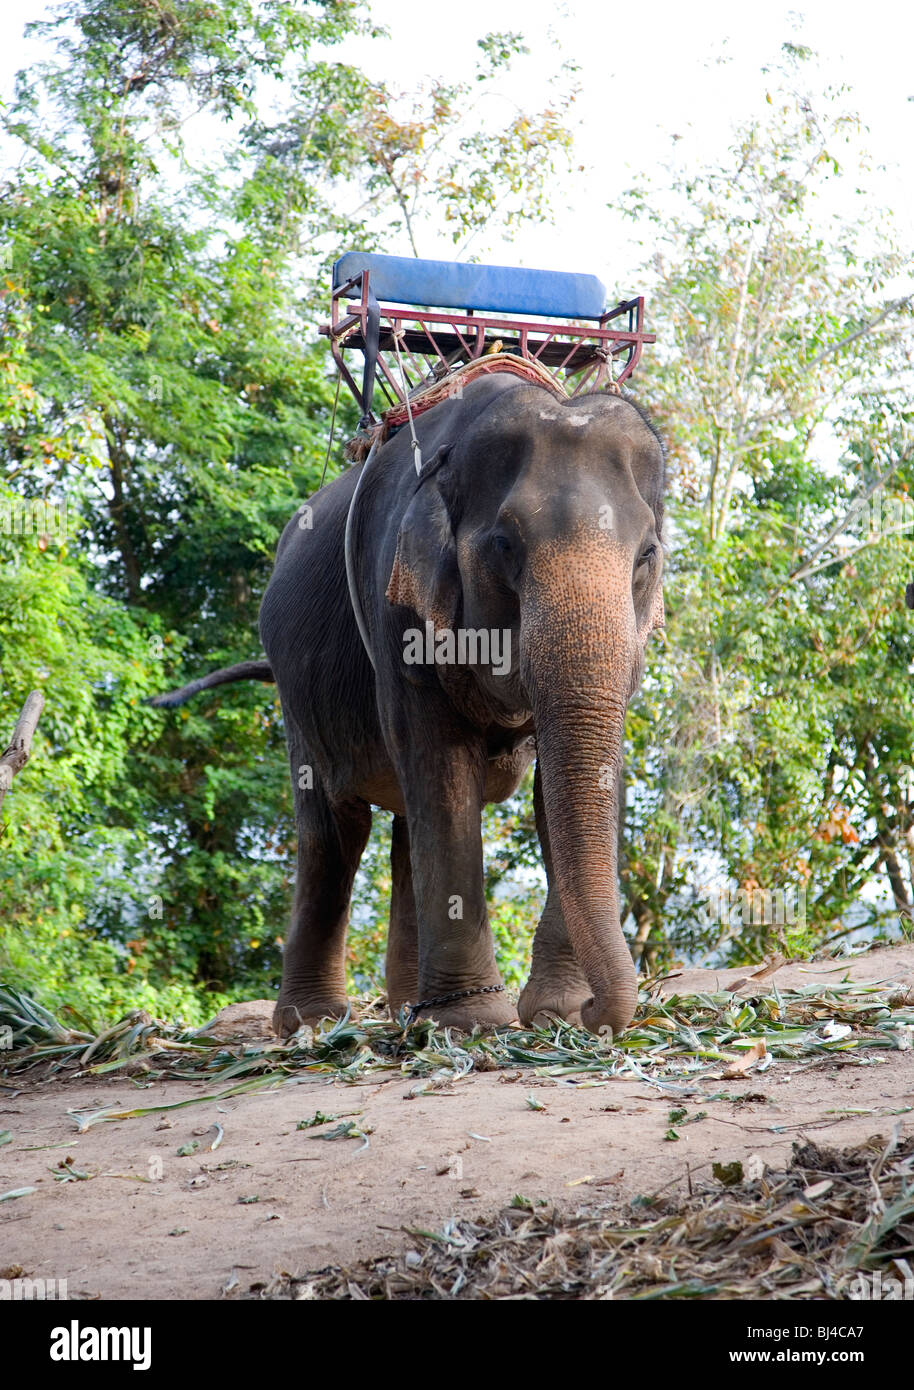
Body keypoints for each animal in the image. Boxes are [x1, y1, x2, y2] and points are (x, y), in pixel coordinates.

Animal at [257, 370, 666, 1038]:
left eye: (648, 554)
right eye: (504, 544)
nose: (596, 1017)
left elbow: (565, 783)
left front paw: (552, 1014)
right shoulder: (395, 608)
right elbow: (441, 769)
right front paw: (474, 1022)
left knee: (400, 828)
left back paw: (406, 1009)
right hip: (296, 693)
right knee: (335, 828)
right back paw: (314, 1025)